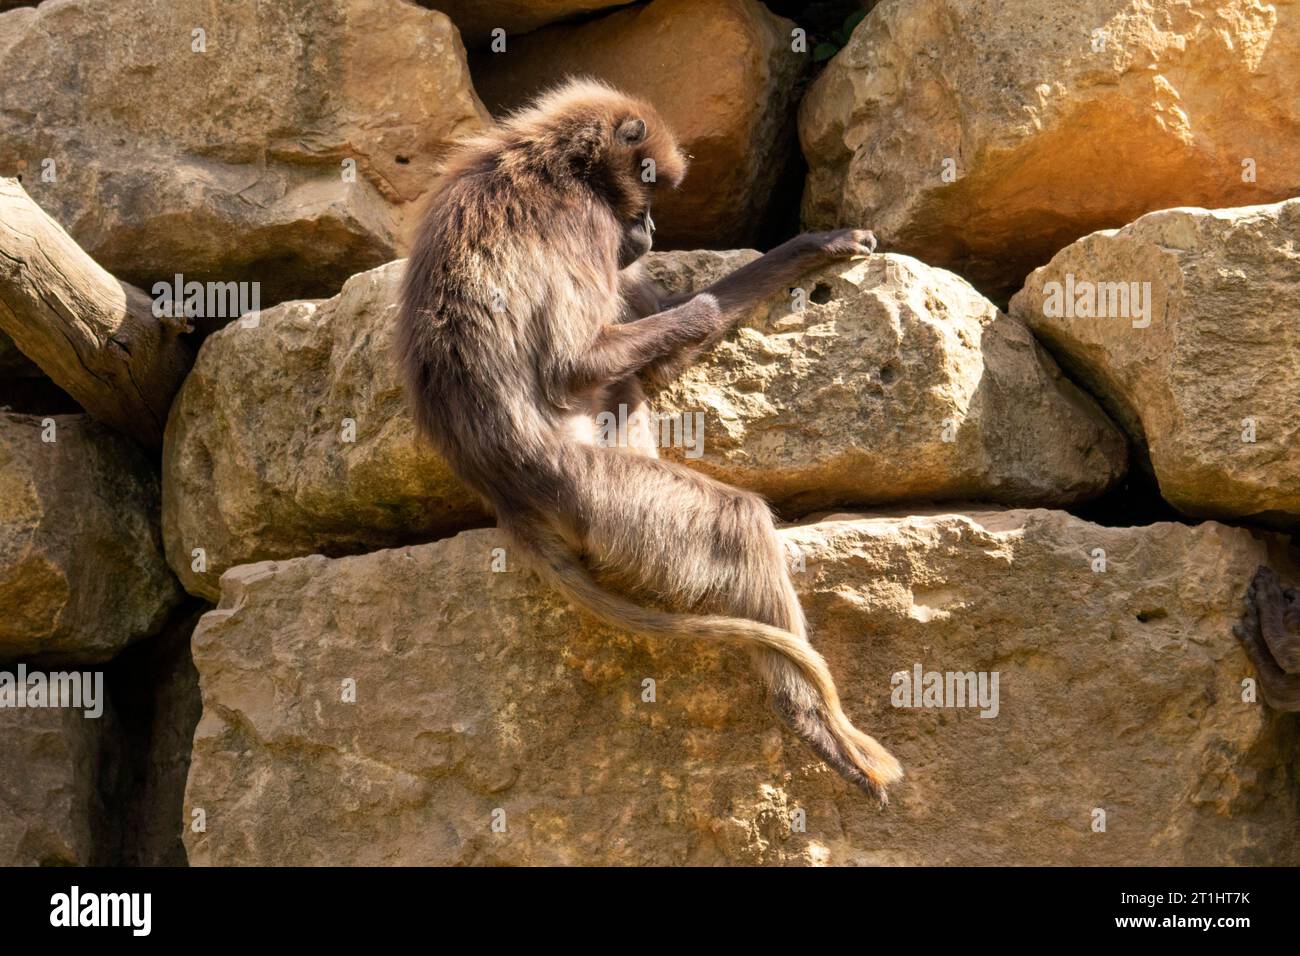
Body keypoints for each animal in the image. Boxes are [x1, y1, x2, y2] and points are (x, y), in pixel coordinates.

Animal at [397, 78, 903, 801]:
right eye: (648, 186)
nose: (652, 230)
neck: (549, 163)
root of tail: (508, 496)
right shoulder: (584, 226)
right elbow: (574, 362)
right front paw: (712, 301)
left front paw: (814, 247)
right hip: (601, 497)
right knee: (732, 517)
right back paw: (811, 718)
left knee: (630, 386)